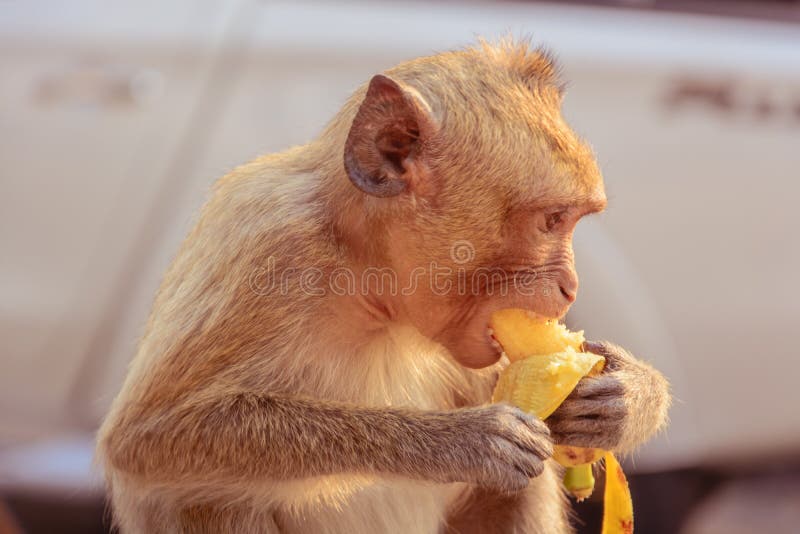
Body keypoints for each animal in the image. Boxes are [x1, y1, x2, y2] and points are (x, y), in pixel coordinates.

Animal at [96, 39, 670, 533]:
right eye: (552, 221)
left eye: (574, 219)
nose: (572, 287)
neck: (367, 281)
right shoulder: (265, 247)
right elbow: (148, 438)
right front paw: (460, 442)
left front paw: (623, 396)